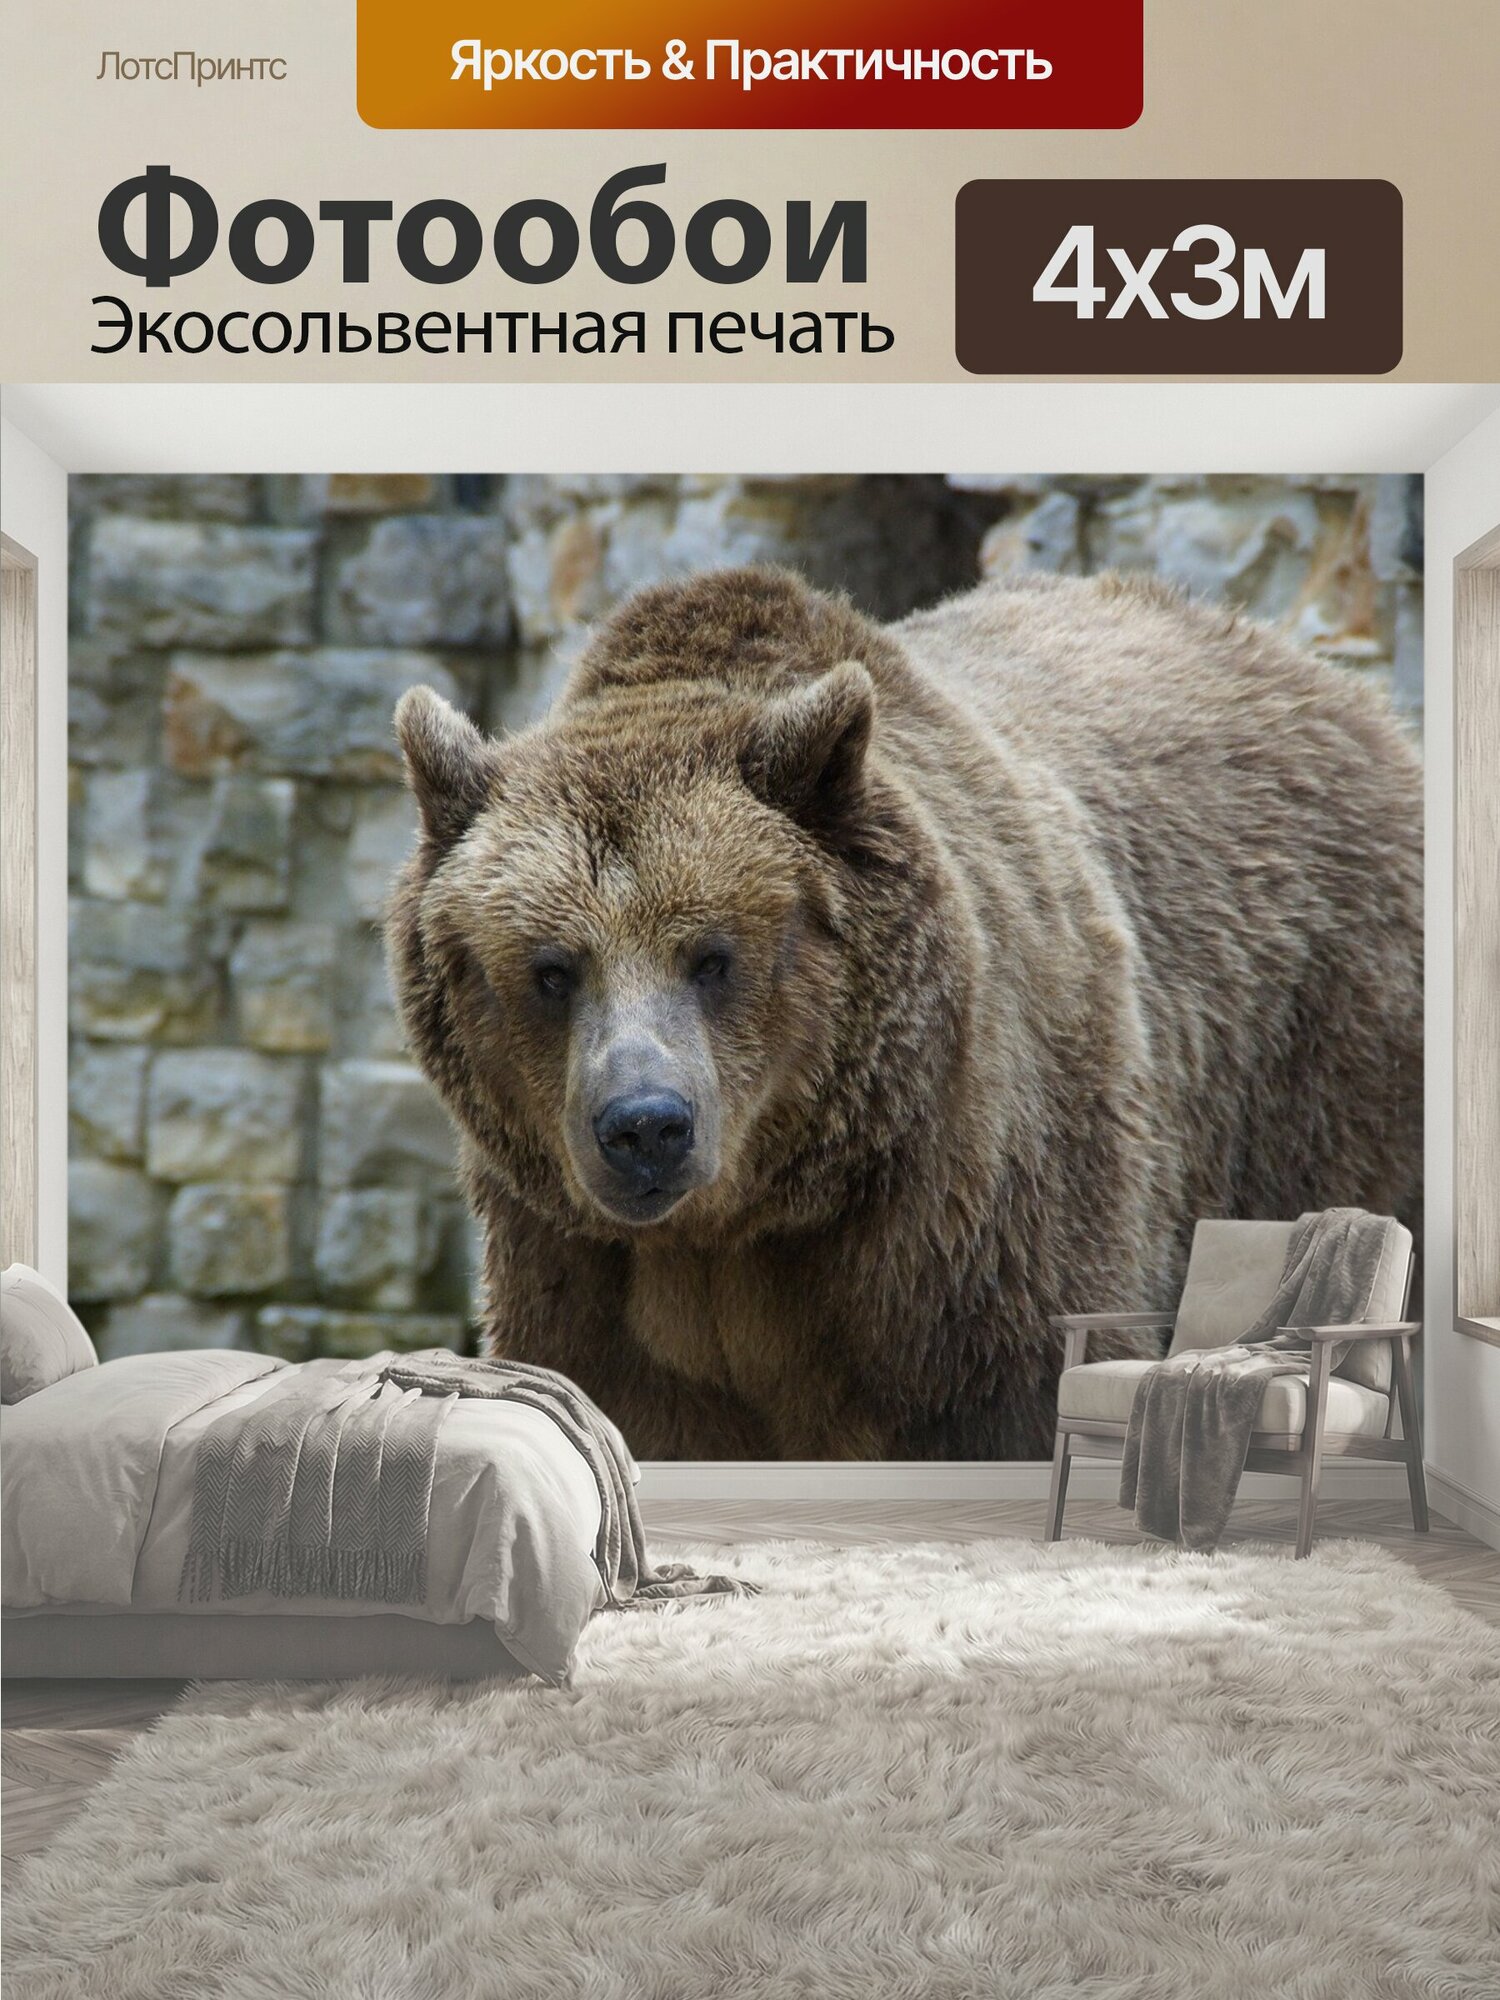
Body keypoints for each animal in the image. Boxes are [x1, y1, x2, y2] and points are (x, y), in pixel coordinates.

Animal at [385, 565, 1423, 1461]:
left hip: (1326, 1056)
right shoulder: (578, 1268)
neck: (747, 1224)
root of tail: (1340, 690)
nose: (646, 1128)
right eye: (552, 970)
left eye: (713, 956)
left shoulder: (967, 1239)